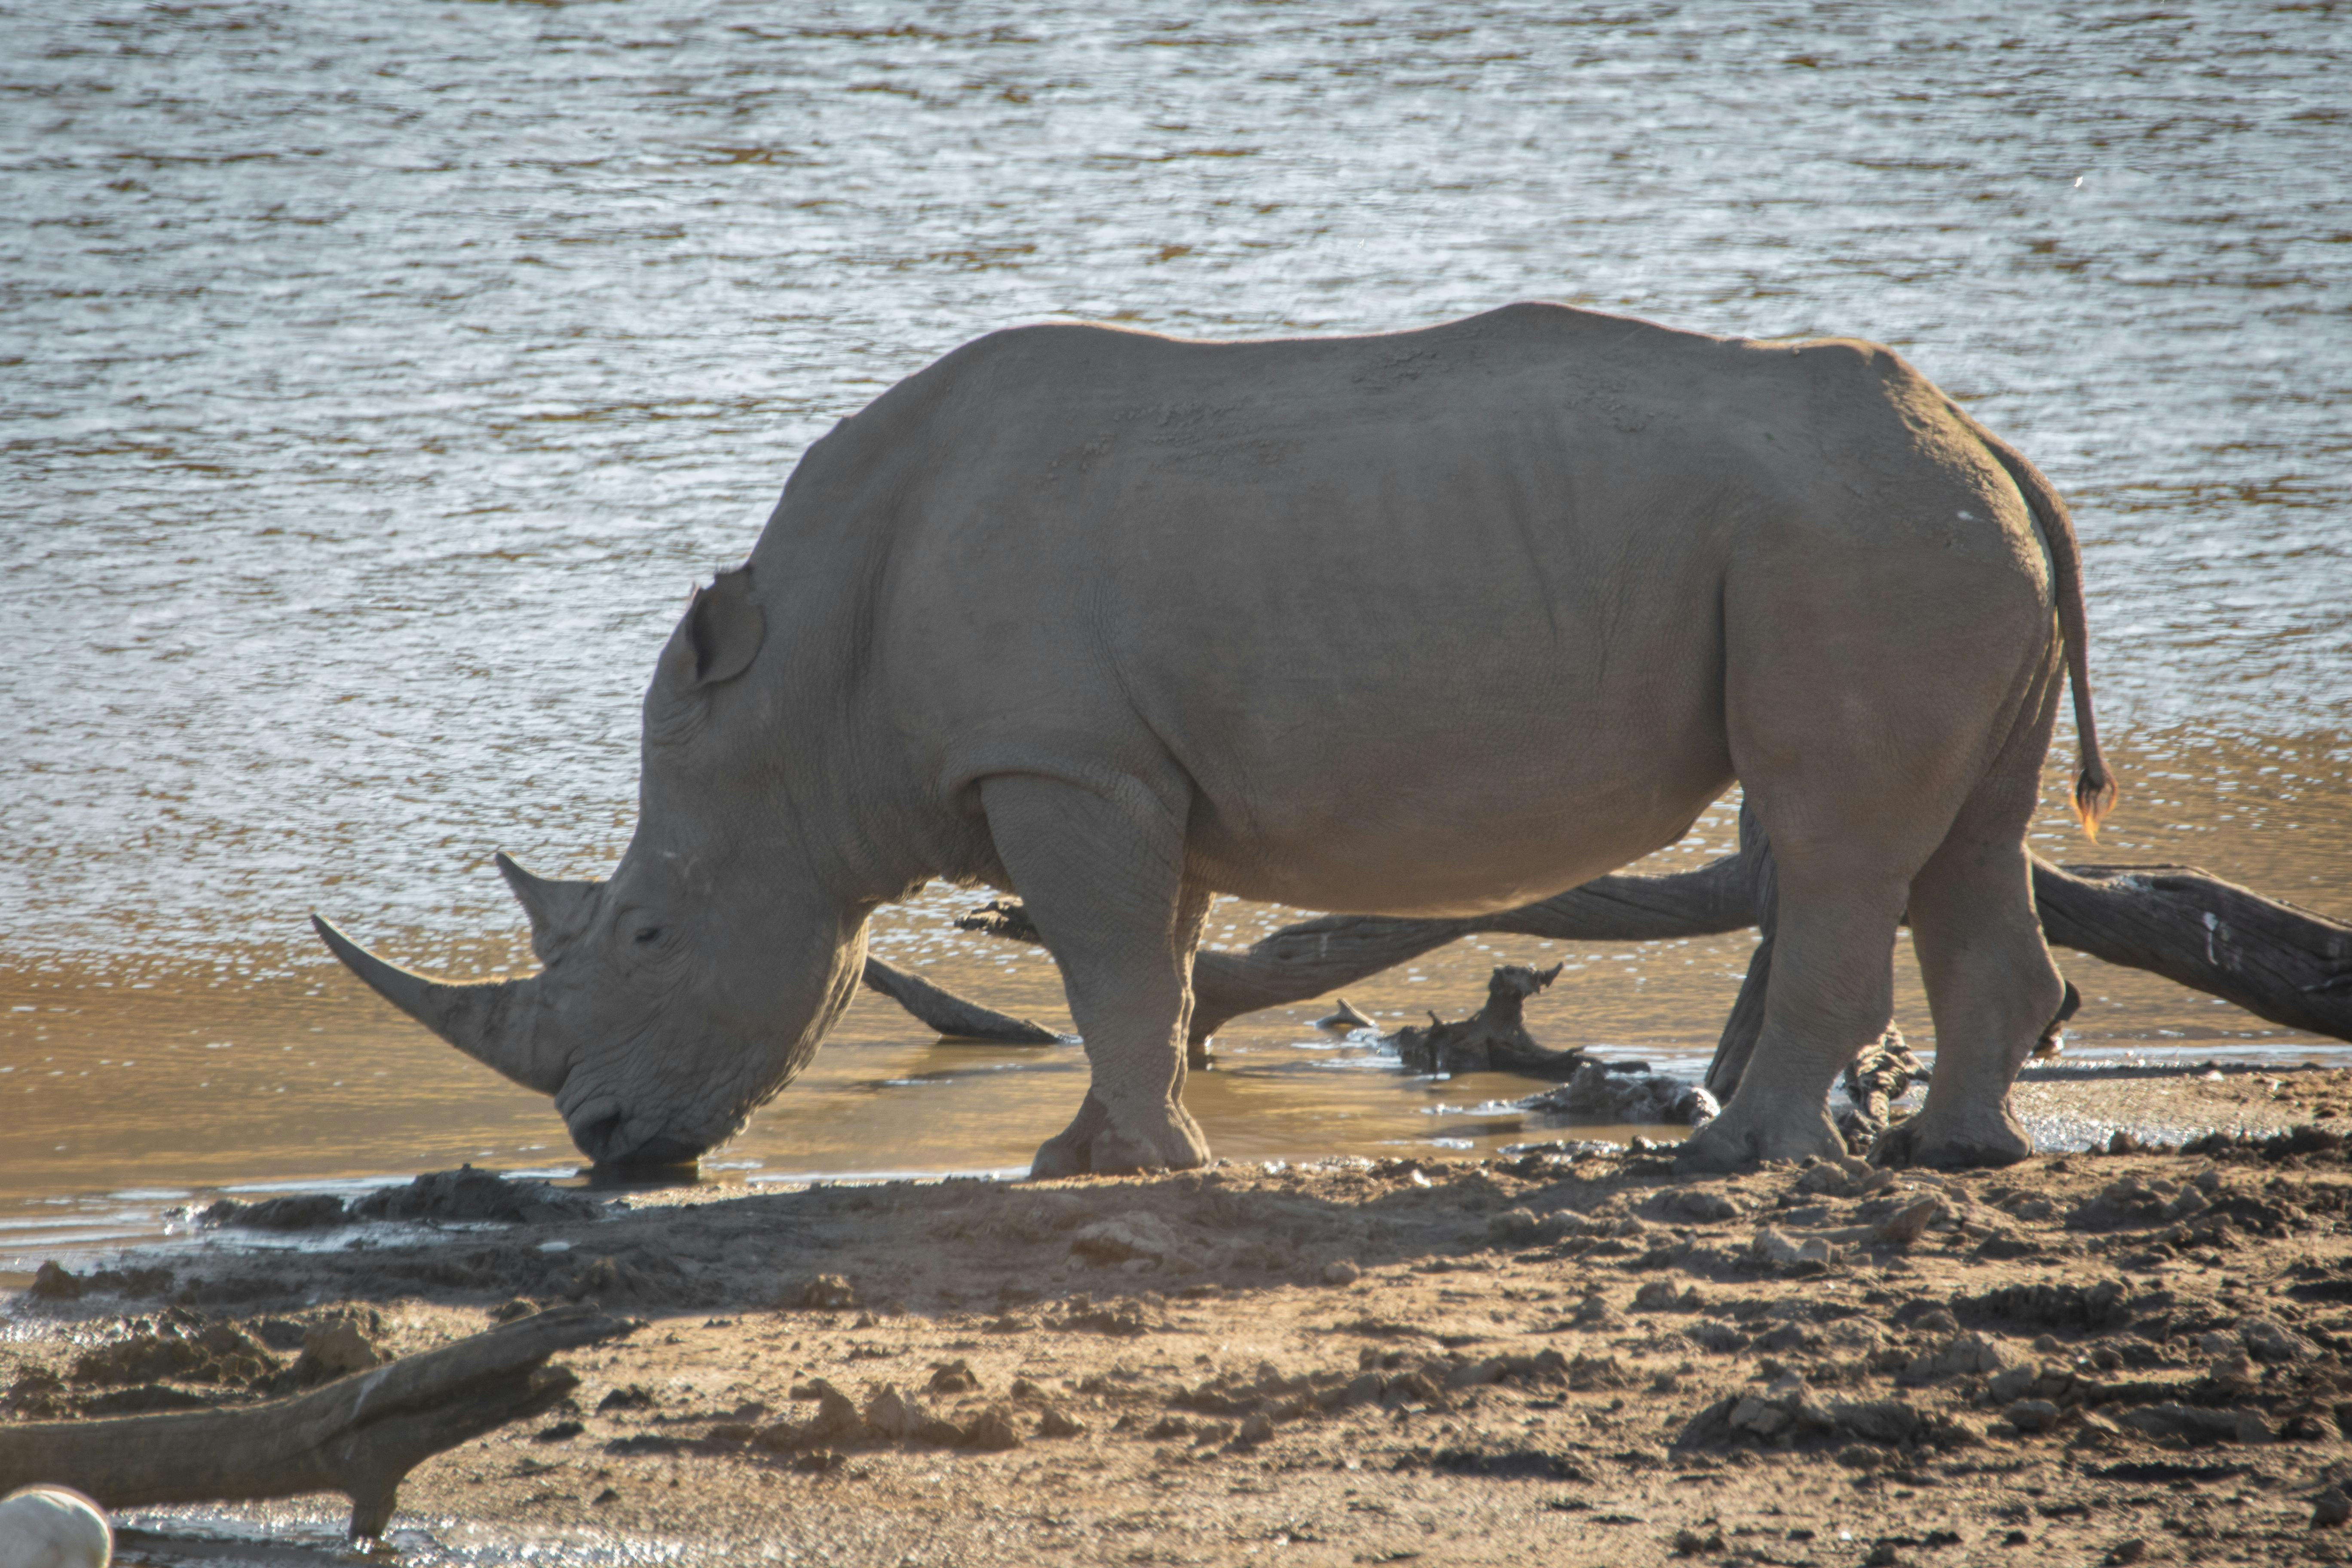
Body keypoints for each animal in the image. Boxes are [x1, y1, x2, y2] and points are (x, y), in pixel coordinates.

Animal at [315, 303, 2115, 1176]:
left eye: (645, 934)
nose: (601, 1146)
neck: (806, 694)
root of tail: (1984, 436)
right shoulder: (1116, 765)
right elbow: (1157, 960)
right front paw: (1081, 1156)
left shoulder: (1059, 760)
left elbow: (1110, 965)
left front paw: (1149, 1163)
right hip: (1919, 538)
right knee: (1970, 840)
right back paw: (1961, 1150)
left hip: (1854, 547)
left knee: (1829, 843)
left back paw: (1734, 1160)